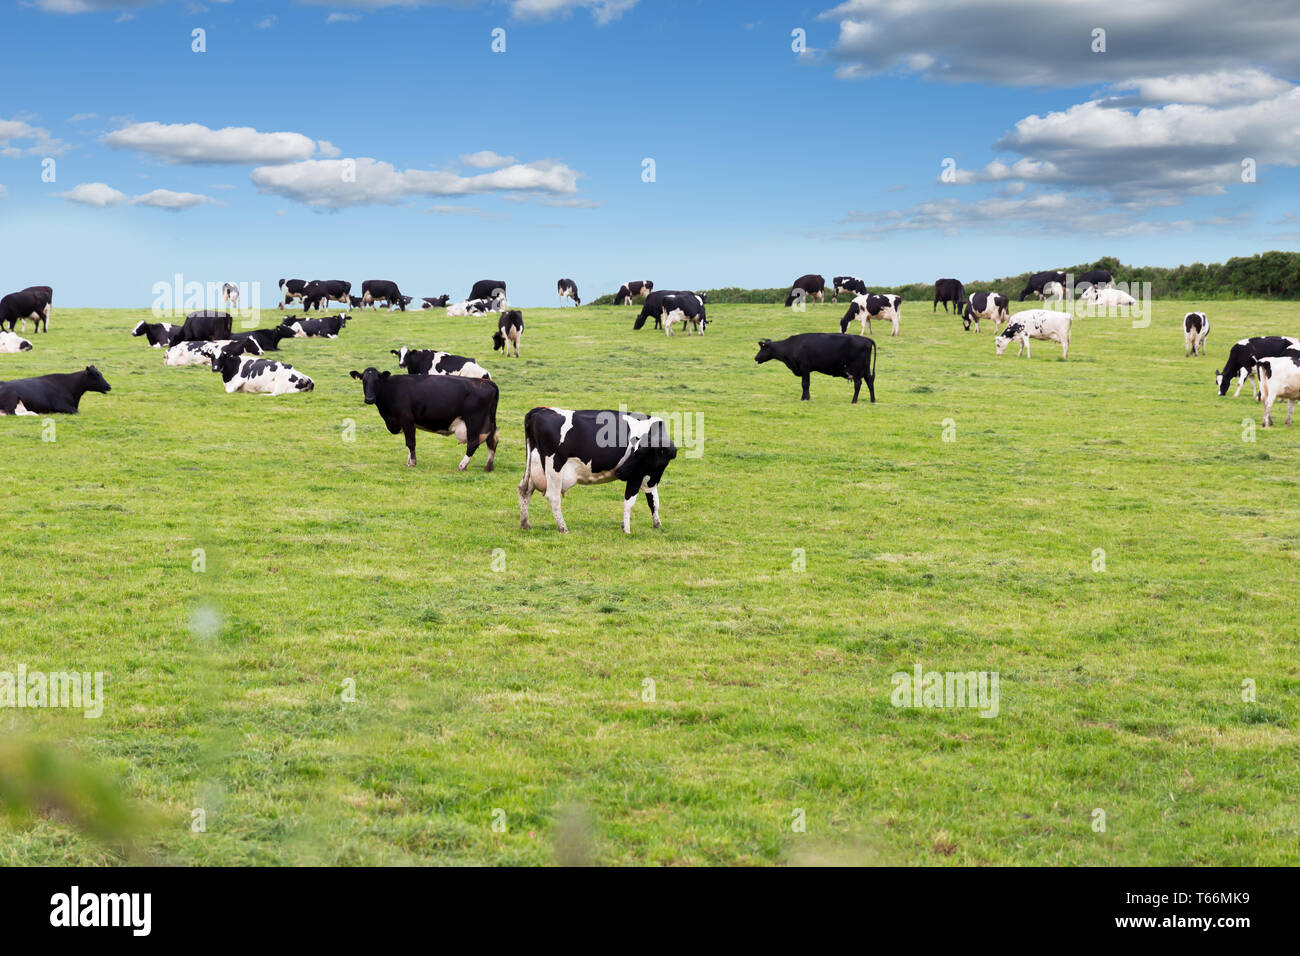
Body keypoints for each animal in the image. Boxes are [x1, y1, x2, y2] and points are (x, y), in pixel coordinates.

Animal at [349, 367, 499, 470]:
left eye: (377, 381)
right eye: (364, 381)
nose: (369, 399)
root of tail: (486, 382)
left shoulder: (406, 419)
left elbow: (410, 442)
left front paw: (412, 463)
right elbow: (409, 444)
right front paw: (409, 460)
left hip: (474, 420)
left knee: (473, 443)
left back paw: (461, 466)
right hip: (489, 421)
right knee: (492, 442)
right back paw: (488, 467)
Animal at [517, 406, 677, 534]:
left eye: (642, 453)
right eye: (636, 452)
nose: (620, 472)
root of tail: (538, 410)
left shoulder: (650, 477)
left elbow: (654, 501)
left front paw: (657, 525)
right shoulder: (635, 476)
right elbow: (629, 502)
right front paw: (626, 529)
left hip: (533, 467)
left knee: (524, 490)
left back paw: (526, 524)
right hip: (554, 468)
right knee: (553, 497)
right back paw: (563, 528)